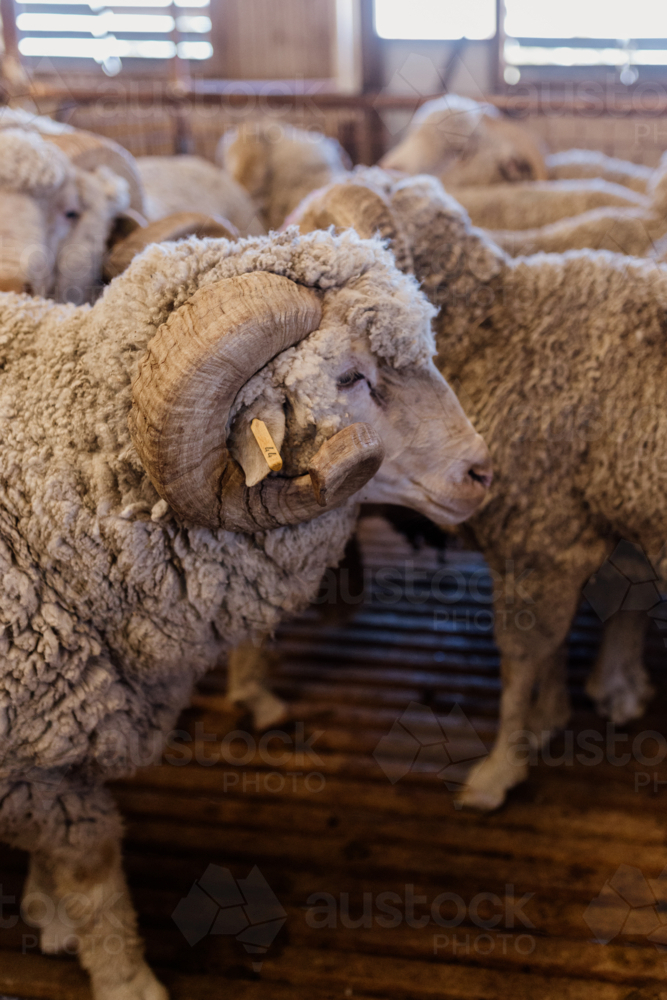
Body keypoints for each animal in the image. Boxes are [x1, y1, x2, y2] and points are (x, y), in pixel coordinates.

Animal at [0, 225, 491, 998]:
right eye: (348, 378)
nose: (481, 472)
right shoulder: (35, 754)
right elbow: (93, 875)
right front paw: (125, 978)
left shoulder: (49, 749)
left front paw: (47, 913)